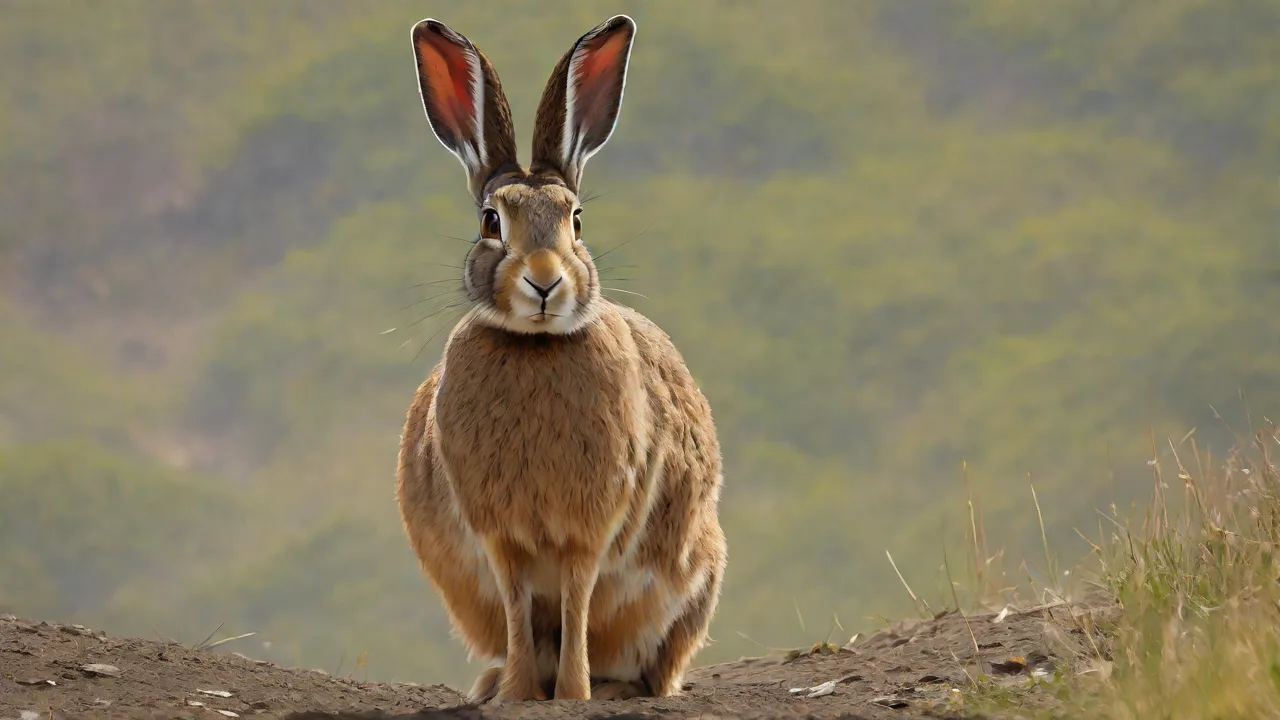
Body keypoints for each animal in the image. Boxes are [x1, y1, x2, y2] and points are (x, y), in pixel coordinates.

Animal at [395, 14, 727, 705]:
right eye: (490, 222)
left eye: (577, 220)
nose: (545, 282)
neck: (538, 346)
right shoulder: (500, 537)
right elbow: (520, 607)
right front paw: (521, 693)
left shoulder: (588, 530)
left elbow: (575, 602)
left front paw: (572, 693)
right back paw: (493, 683)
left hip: (695, 580)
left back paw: (612, 688)